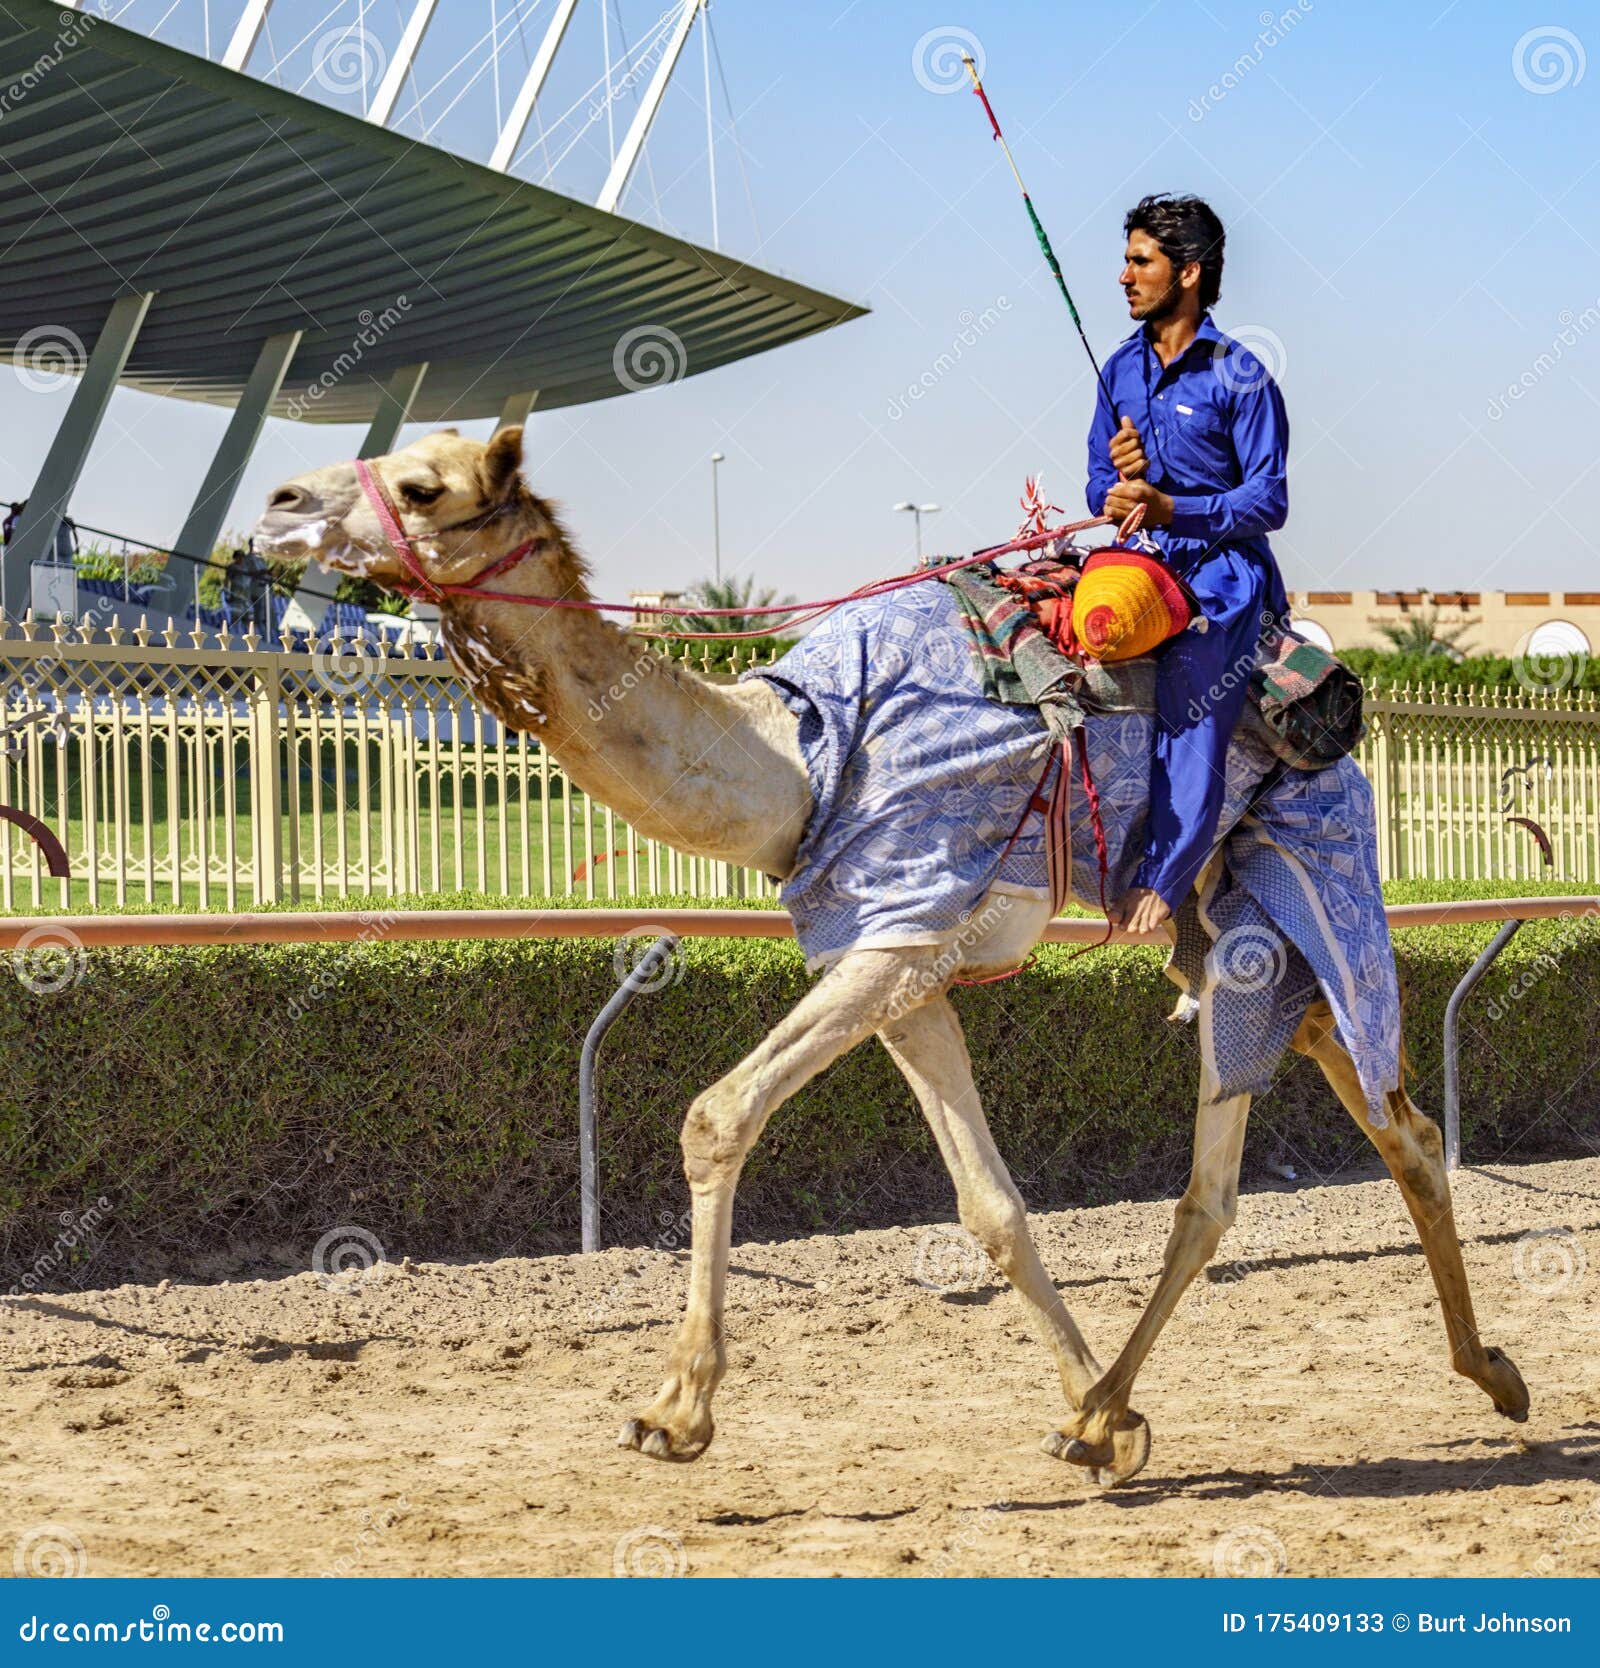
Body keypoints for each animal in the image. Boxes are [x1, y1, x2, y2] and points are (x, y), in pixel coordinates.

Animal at [254, 426, 1529, 1486]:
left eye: (424, 484)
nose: (274, 502)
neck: (802, 764)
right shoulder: (900, 965)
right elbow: (990, 1204)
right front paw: (1102, 1415)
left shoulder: (902, 917)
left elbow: (716, 1115)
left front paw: (674, 1412)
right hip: (1231, 938)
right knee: (1381, 1140)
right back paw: (1473, 1375)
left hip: (1282, 907)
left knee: (1243, 1176)